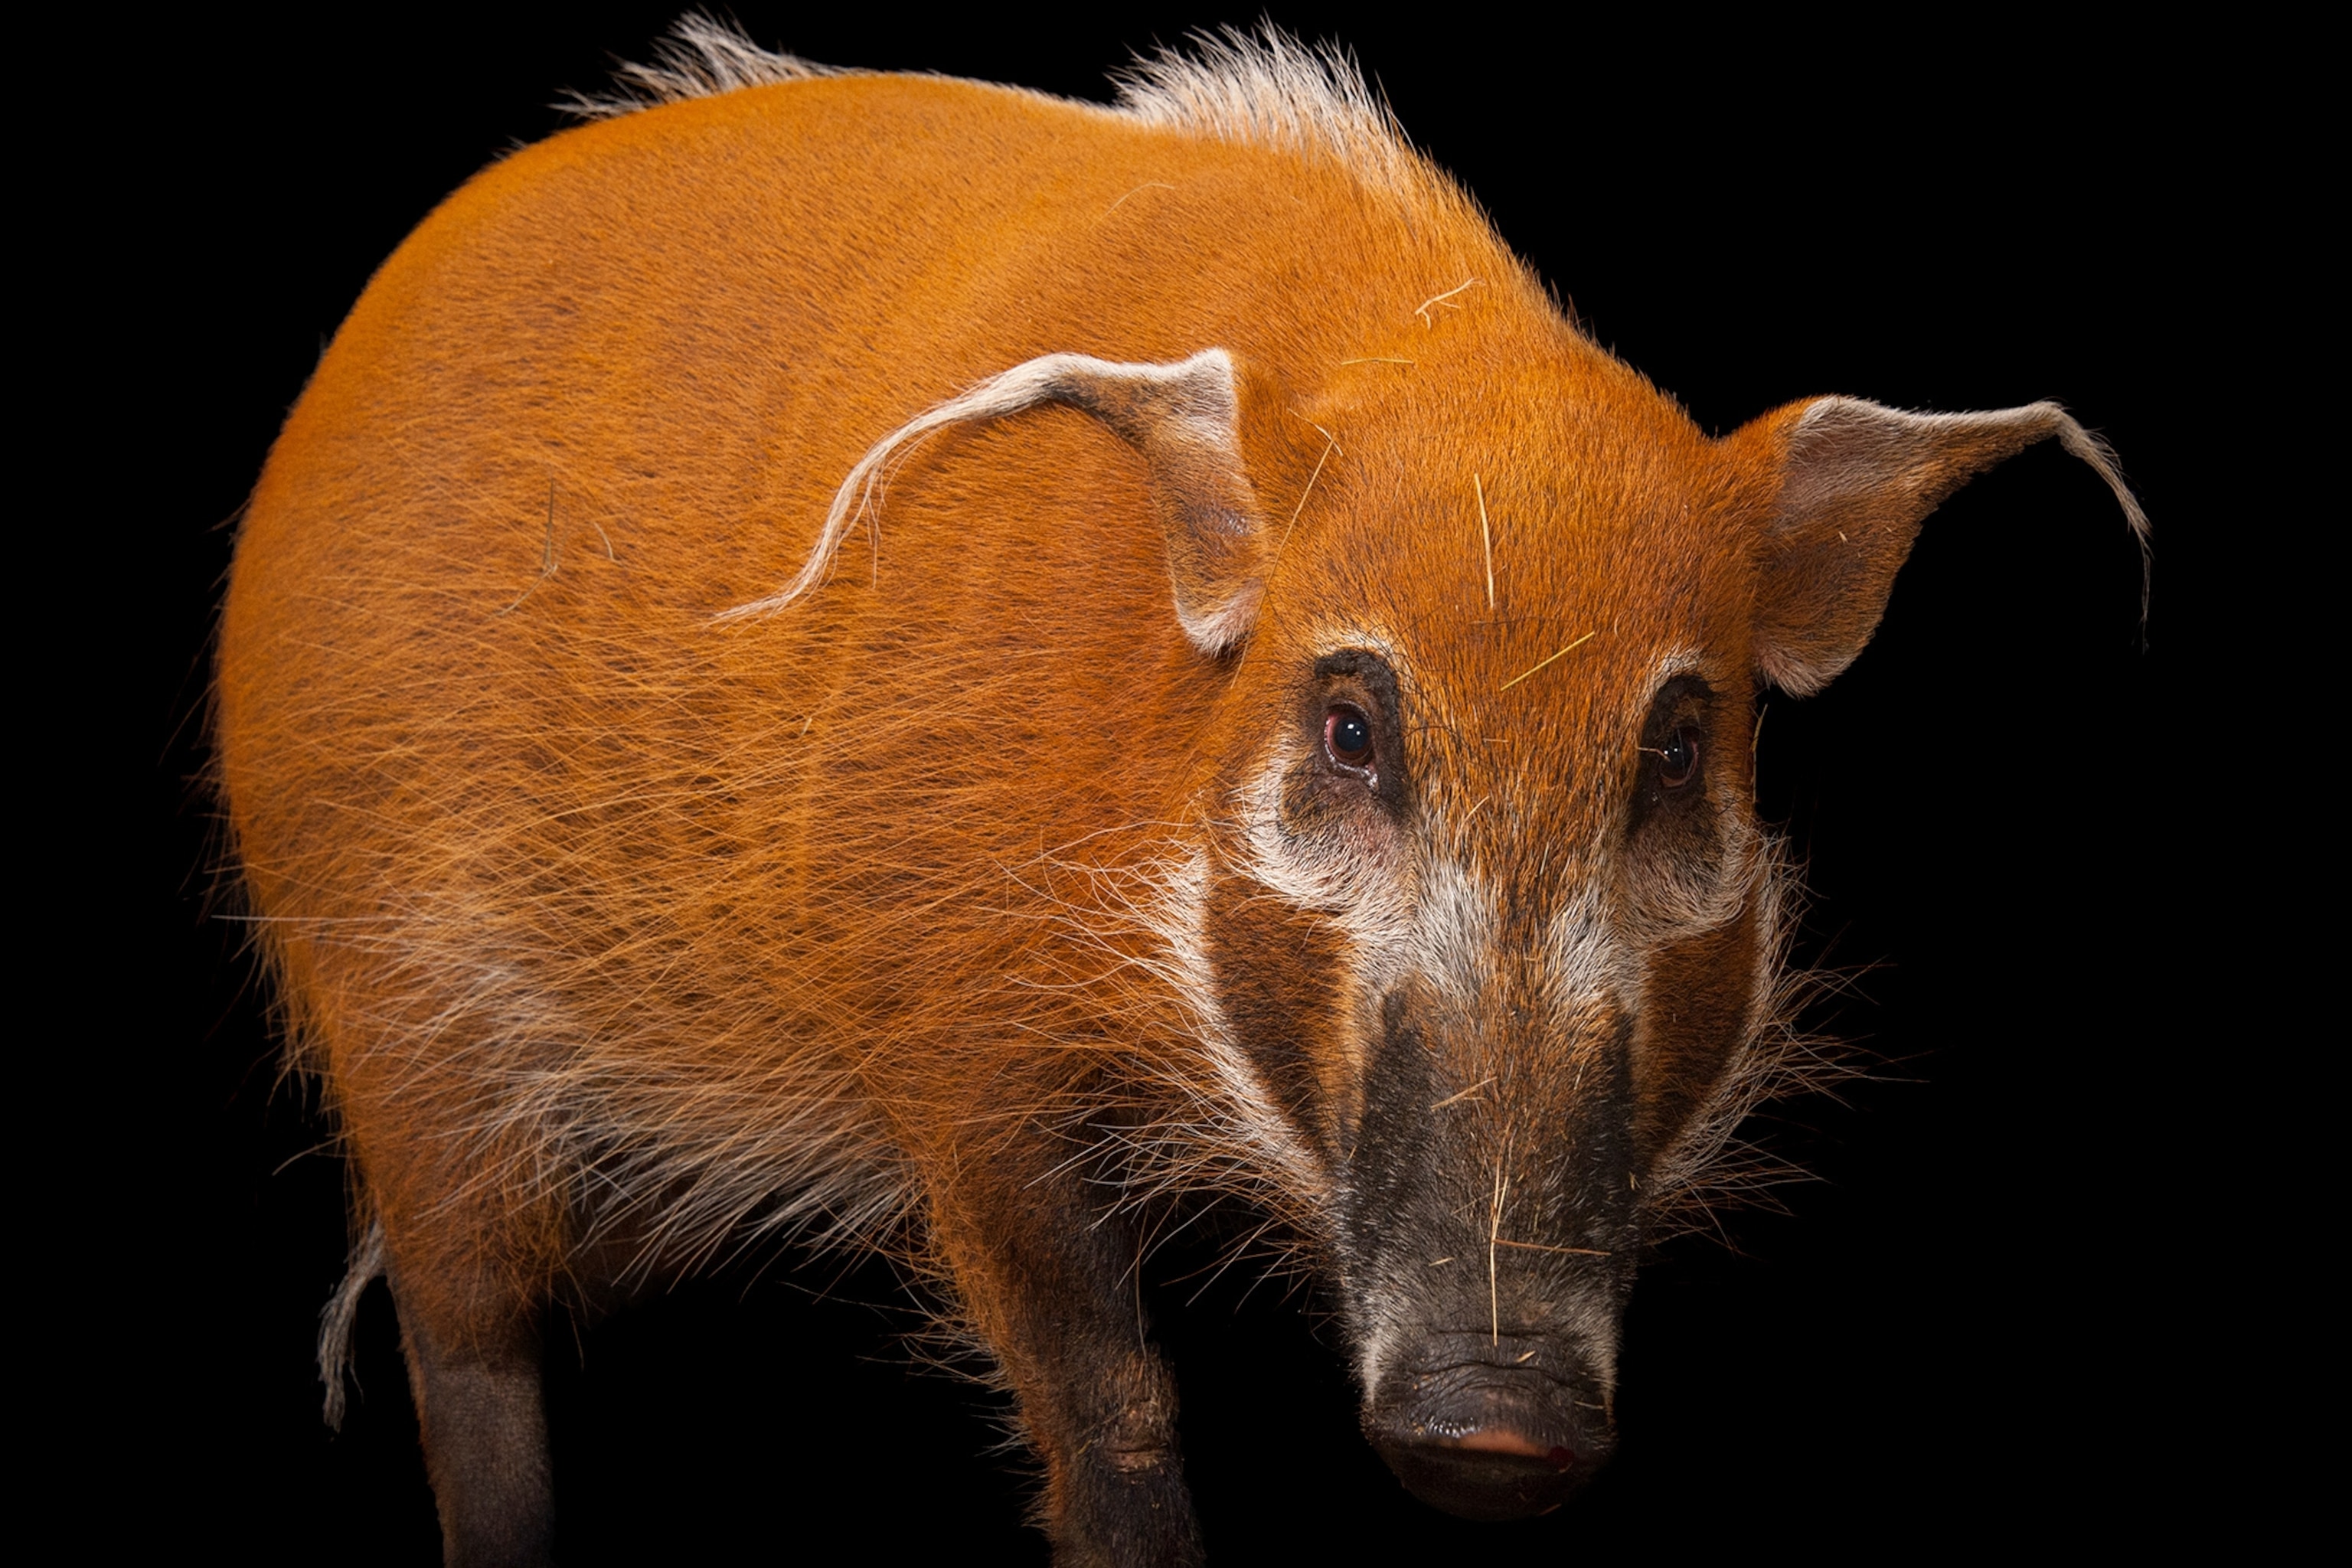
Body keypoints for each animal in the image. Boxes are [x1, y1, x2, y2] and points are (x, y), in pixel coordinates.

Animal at [212, 20, 2146, 1565]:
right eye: (1350, 723)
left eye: (1675, 743)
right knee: (465, 1320)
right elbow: (1110, 1410)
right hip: (382, 984)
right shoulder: (948, 1040)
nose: (1494, 1418)